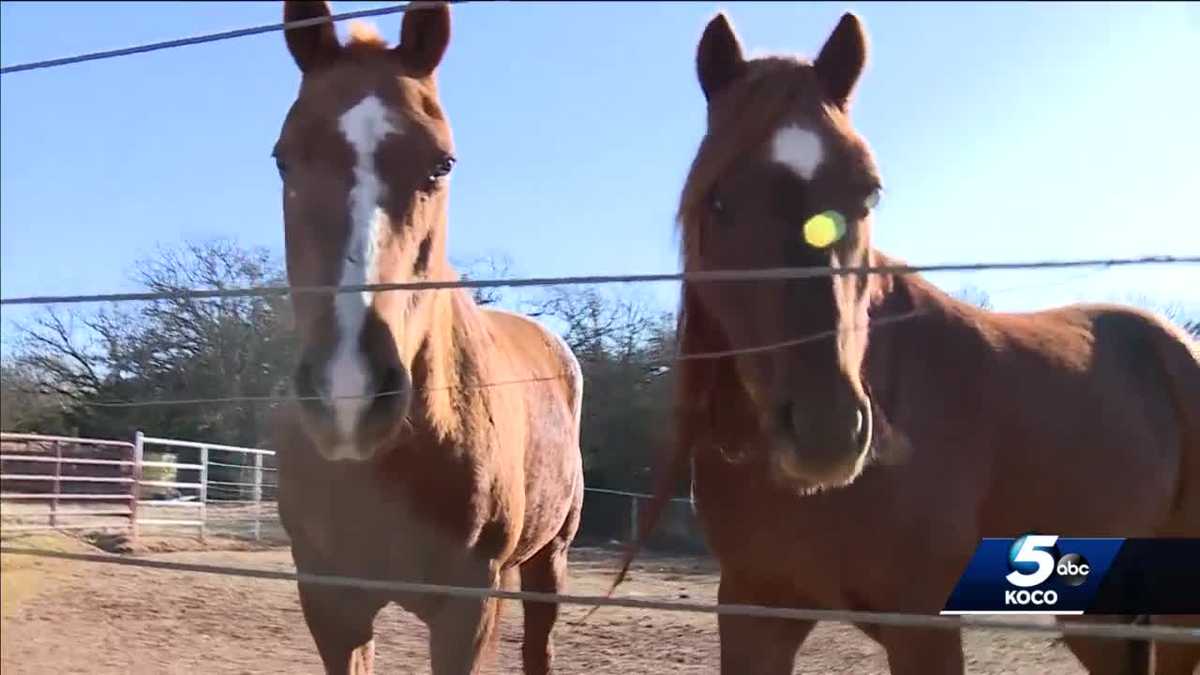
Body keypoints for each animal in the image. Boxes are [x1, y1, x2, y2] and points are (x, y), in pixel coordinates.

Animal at [269, 3, 584, 673]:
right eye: (283, 158)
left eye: (443, 163)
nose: (349, 391)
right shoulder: (329, 604)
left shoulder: (468, 608)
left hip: (550, 559)